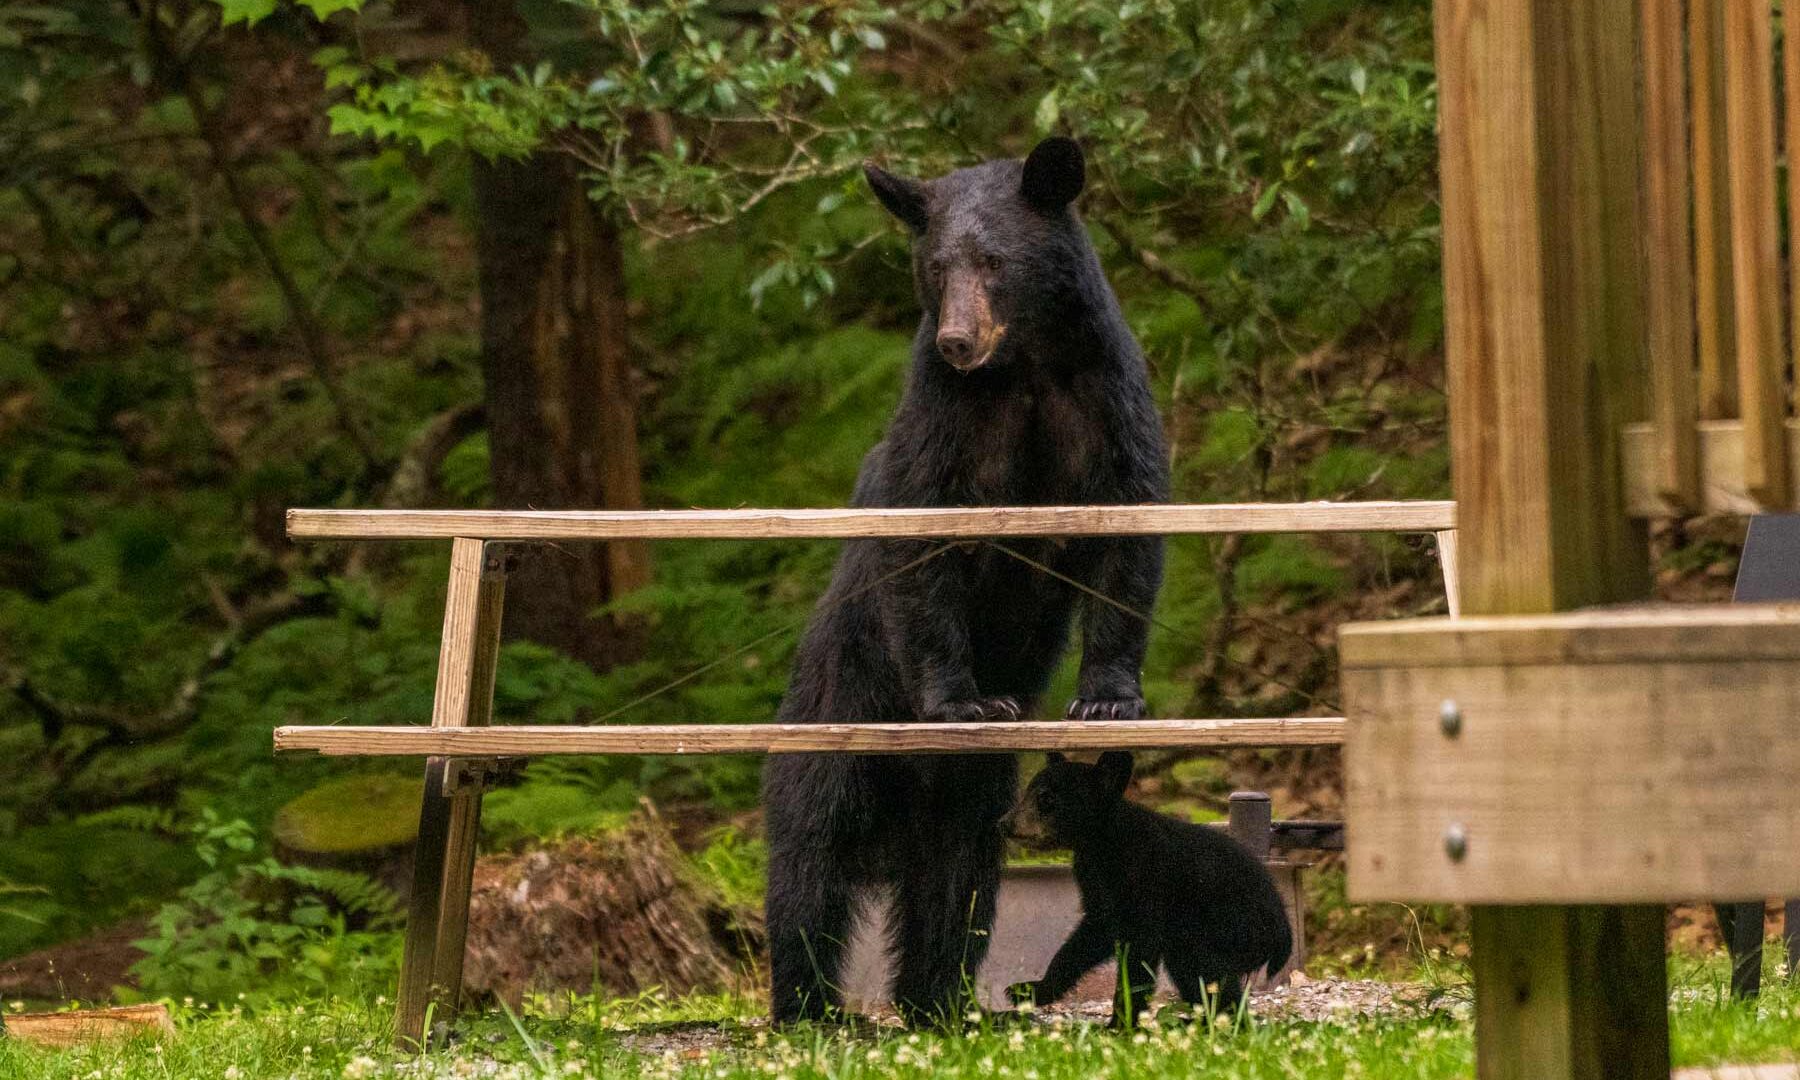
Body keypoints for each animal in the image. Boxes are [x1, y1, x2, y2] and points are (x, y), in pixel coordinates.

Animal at [760, 135, 1170, 1027]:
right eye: (935, 264)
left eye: (993, 261)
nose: (956, 338)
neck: (1025, 366)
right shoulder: (947, 424)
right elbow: (926, 555)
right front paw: (965, 699)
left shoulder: (1105, 403)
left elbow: (1125, 541)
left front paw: (1106, 697)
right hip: (836, 719)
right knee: (810, 868)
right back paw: (812, 1003)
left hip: (974, 798)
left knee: (958, 887)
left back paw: (939, 998)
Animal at [1002, 751, 1292, 1026]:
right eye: (1029, 791)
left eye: (1046, 798)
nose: (1004, 823)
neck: (1102, 843)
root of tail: (1282, 933)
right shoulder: (1095, 880)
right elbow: (1089, 937)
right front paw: (1029, 989)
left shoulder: (1146, 878)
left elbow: (1139, 951)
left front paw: (1120, 1023)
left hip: (1228, 927)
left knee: (1203, 968)